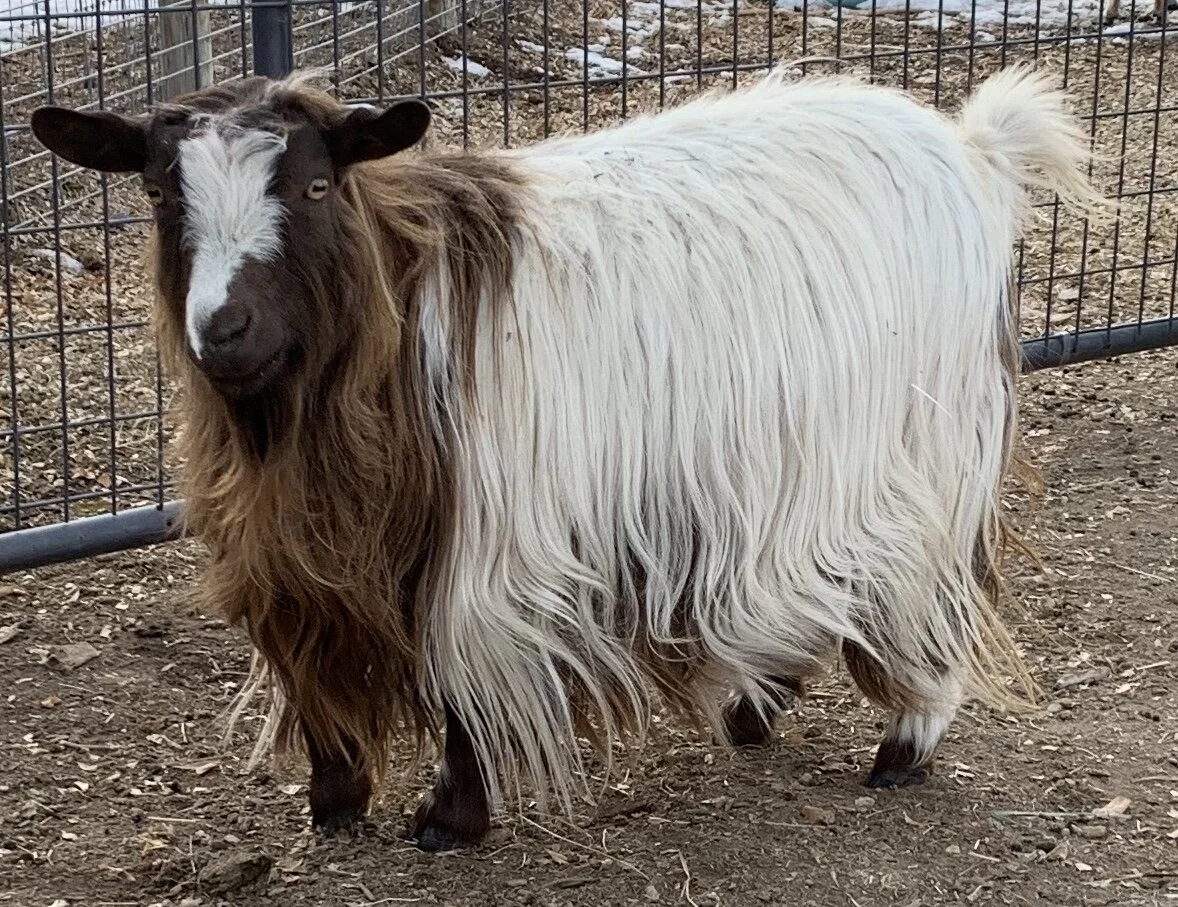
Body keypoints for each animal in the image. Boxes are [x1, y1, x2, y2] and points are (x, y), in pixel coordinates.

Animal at [31, 65, 1106, 851]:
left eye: (316, 183)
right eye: (157, 191)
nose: (224, 330)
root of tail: (972, 151)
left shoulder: (490, 541)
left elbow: (460, 664)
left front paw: (450, 818)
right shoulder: (296, 551)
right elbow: (310, 656)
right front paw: (334, 801)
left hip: (916, 444)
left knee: (923, 578)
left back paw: (904, 740)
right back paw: (756, 709)